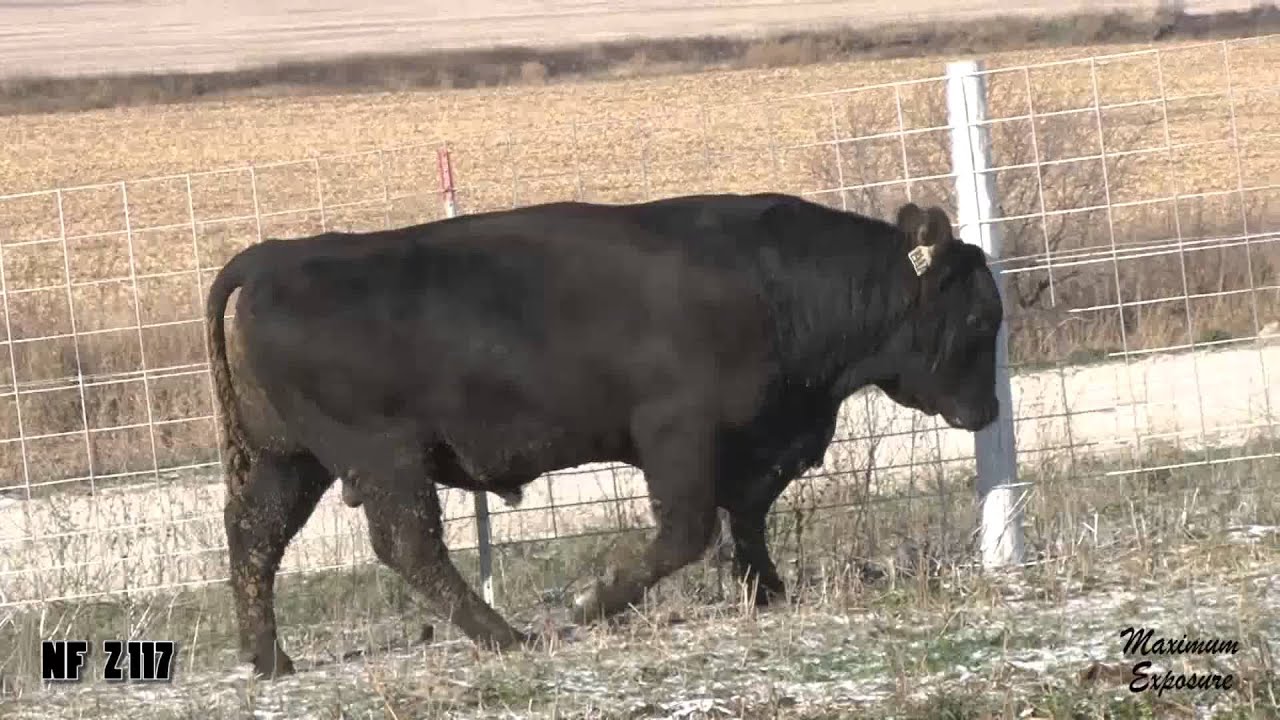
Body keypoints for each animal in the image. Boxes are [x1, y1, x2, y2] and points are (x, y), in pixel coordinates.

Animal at [204, 192, 1004, 678]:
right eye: (977, 317)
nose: (987, 411)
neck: (778, 287)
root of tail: (275, 255)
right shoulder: (677, 435)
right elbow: (686, 530)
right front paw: (593, 602)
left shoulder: (759, 445)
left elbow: (747, 514)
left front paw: (768, 589)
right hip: (384, 460)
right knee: (407, 543)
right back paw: (507, 636)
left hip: (289, 461)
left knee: (254, 537)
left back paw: (270, 659)